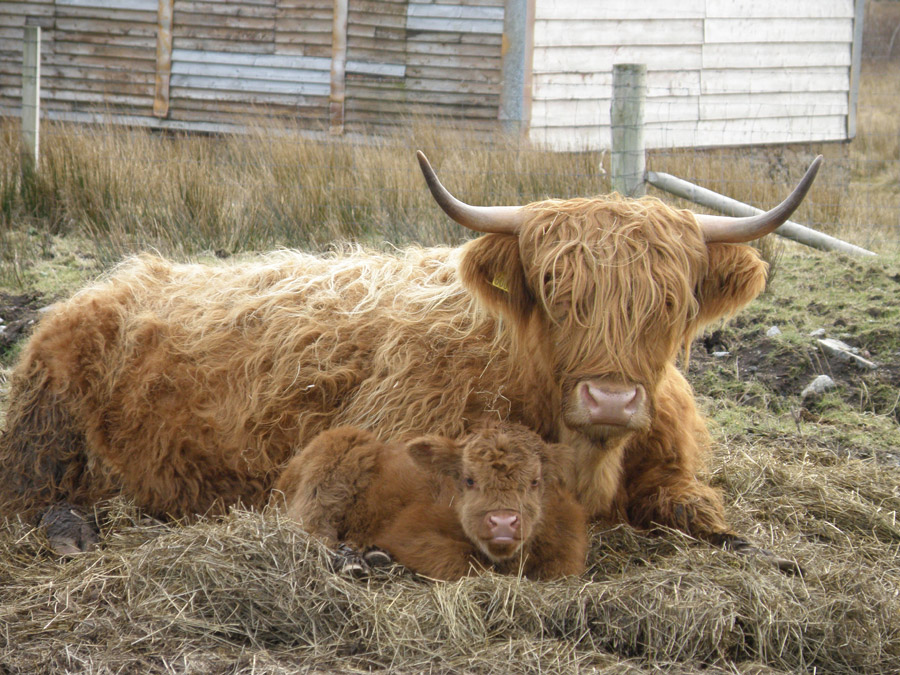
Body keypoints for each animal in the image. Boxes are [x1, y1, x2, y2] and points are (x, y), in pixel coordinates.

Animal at [274, 421, 587, 580]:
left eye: (535, 481)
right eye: (469, 480)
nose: (502, 522)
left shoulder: (567, 551)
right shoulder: (409, 534)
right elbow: (462, 563)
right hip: (333, 461)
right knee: (312, 528)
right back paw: (355, 561)